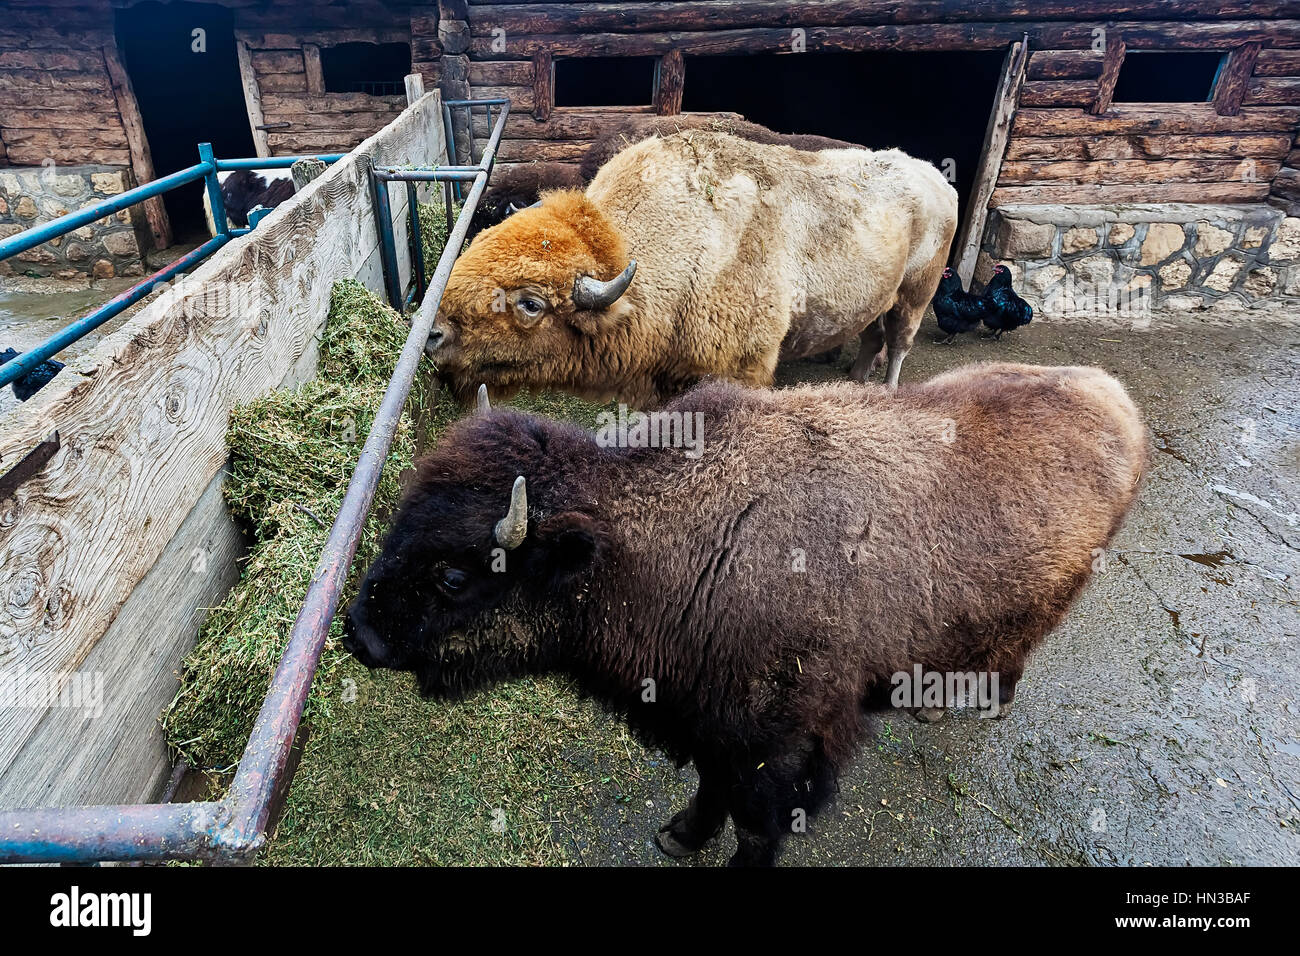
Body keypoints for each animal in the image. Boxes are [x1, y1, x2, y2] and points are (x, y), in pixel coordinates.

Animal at [344, 364, 1147, 865]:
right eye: (401, 525)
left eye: (454, 576)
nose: (360, 635)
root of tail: (1116, 401)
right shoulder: (706, 716)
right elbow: (711, 786)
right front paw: (679, 835)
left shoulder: (780, 746)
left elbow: (758, 827)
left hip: (1044, 606)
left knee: (1017, 652)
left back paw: (970, 702)